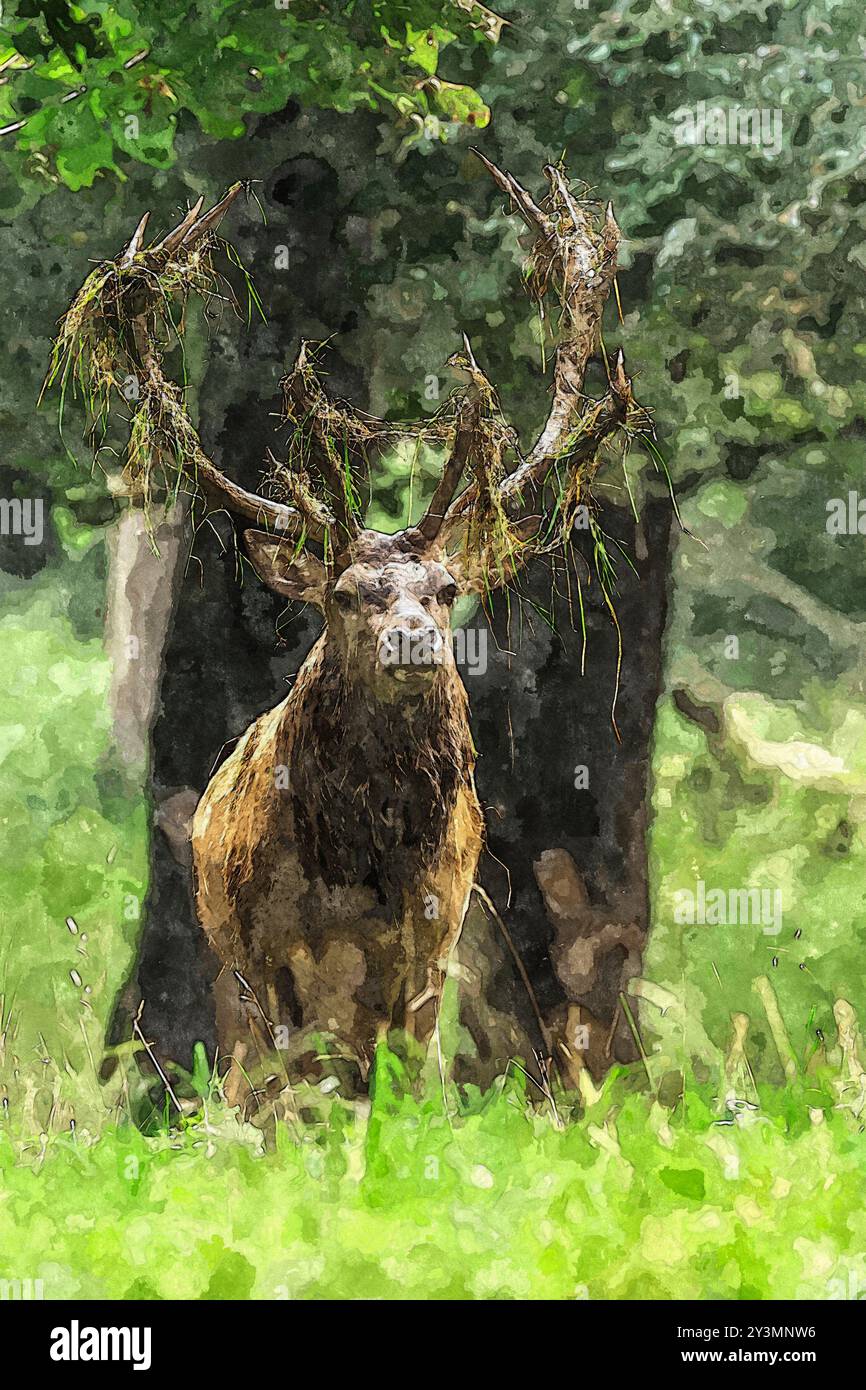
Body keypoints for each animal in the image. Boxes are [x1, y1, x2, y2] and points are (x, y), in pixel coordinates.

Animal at [48, 152, 652, 1103]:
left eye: (445, 588)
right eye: (346, 592)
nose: (413, 638)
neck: (359, 869)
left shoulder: (435, 939)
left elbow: (407, 1086)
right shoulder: (267, 953)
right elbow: (294, 1088)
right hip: (228, 964)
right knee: (251, 1081)